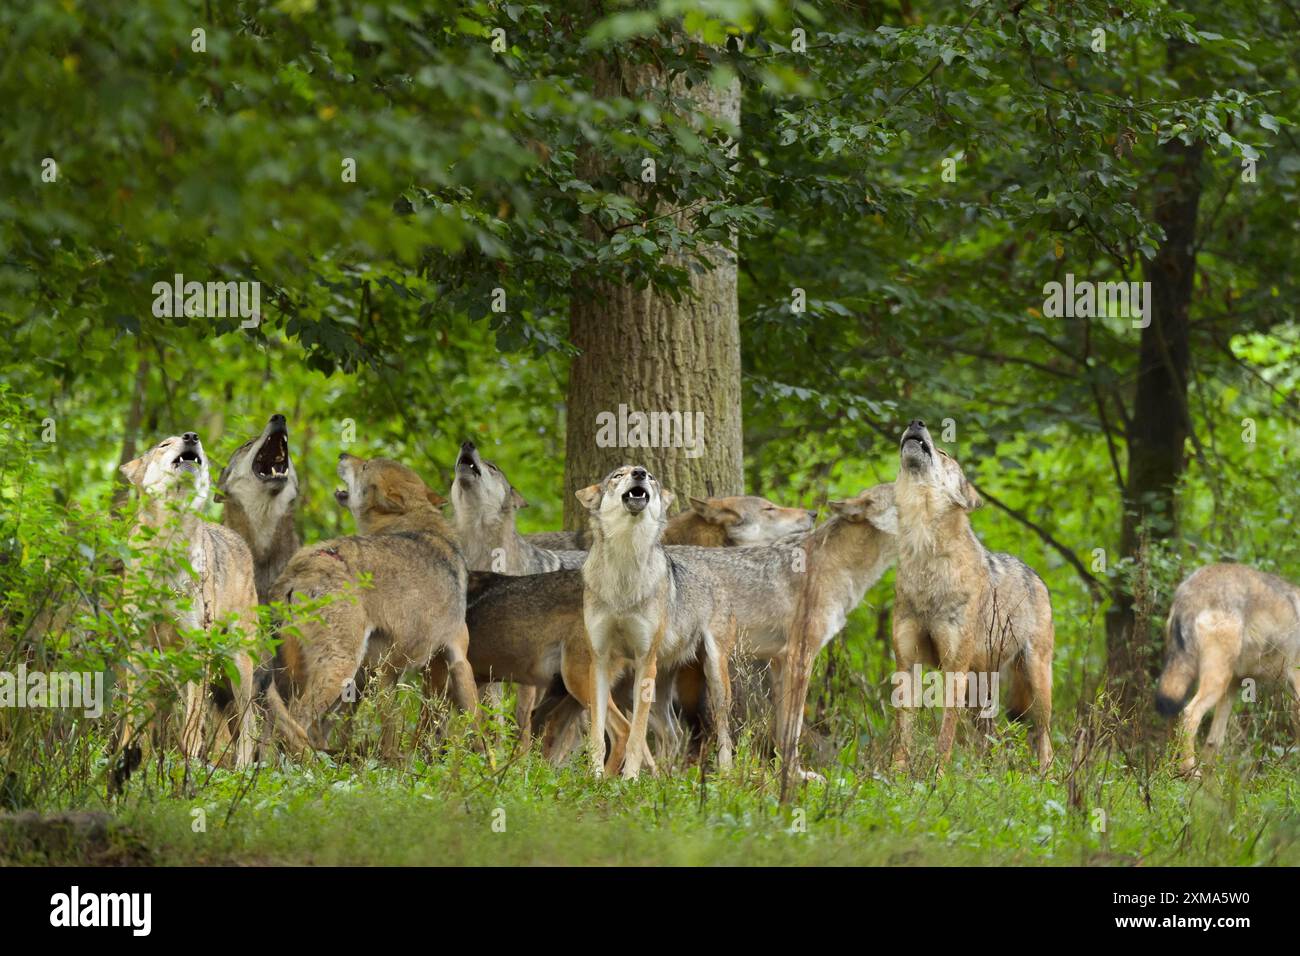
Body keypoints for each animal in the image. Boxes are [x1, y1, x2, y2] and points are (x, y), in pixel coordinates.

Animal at [118, 431, 260, 769]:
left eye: (198, 443)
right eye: (163, 445)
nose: (191, 437)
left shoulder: (196, 651)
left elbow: (193, 721)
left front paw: (188, 764)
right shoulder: (139, 650)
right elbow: (135, 716)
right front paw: (129, 760)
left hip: (238, 667)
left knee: (250, 722)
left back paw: (241, 770)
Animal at [262, 453, 477, 756]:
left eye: (365, 466)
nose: (342, 455)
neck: (419, 522)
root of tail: (303, 561)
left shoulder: (387, 670)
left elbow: (387, 727)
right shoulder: (458, 658)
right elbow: (481, 729)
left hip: (303, 673)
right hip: (340, 668)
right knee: (298, 720)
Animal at [890, 420, 1054, 772]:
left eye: (943, 452)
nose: (915, 422)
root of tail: (1037, 577)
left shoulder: (955, 667)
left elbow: (944, 737)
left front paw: (937, 778)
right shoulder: (906, 664)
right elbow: (903, 736)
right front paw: (893, 777)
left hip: (1034, 681)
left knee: (1045, 740)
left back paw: (1046, 779)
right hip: (980, 695)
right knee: (992, 742)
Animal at [1155, 563, 1300, 774]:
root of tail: (1192, 589)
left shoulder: (1236, 683)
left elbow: (1213, 742)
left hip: (1201, 681)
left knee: (1193, 733)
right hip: (1215, 681)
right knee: (1189, 714)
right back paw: (1189, 771)